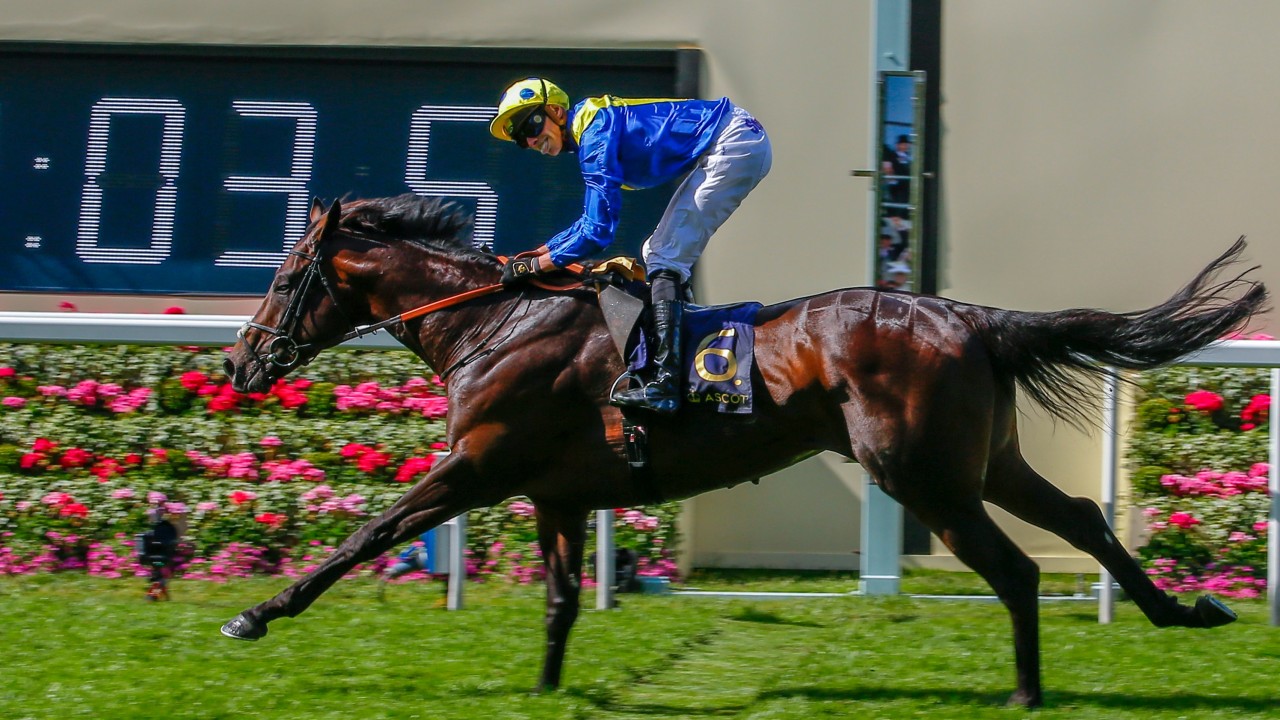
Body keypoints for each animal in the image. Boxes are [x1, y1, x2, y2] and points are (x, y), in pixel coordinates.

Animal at [221, 194, 1266, 708]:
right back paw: (1181, 611)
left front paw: (255, 615)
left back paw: (1026, 694)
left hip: (921, 475)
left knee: (1014, 568)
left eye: (284, 274)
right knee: (1081, 520)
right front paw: (549, 691)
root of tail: (971, 317)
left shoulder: (475, 468)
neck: (495, 323)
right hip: (984, 461)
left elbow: (365, 537)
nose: (238, 360)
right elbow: (560, 604)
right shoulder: (556, 495)